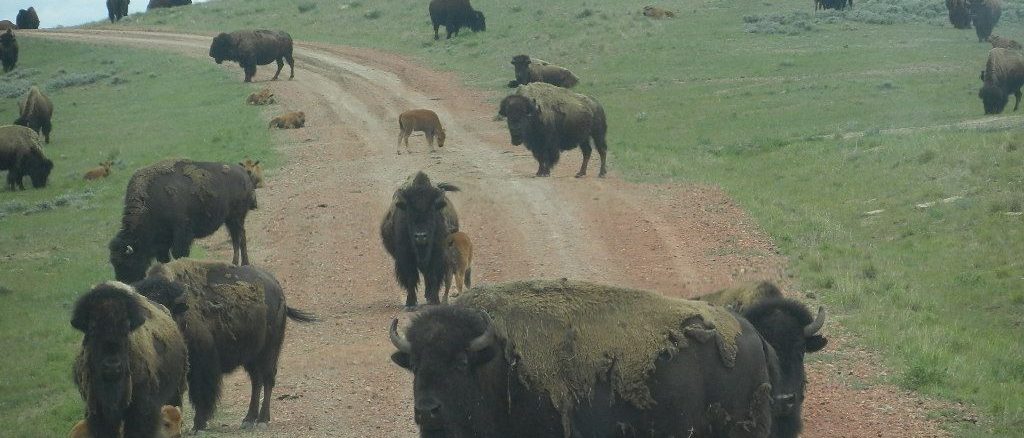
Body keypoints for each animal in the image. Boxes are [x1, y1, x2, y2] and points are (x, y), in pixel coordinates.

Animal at [108, 159, 258, 283]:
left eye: (128, 261)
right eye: (113, 263)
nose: (126, 282)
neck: (150, 204)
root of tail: (245, 175)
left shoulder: (181, 234)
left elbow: (179, 254)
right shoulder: (162, 243)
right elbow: (164, 259)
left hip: (235, 218)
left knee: (238, 238)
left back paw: (238, 263)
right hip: (231, 220)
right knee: (239, 237)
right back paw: (241, 263)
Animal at [135, 259, 316, 431]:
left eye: (165, 306)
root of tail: (277, 288)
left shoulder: (203, 367)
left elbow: (201, 395)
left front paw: (198, 425)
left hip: (269, 351)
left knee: (268, 379)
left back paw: (262, 420)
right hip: (251, 356)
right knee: (256, 381)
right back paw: (248, 420)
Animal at [380, 171, 460, 310]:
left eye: (432, 212)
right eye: (409, 213)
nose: (421, 236)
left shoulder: (437, 255)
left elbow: (433, 275)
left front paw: (434, 300)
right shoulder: (405, 257)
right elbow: (411, 277)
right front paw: (410, 304)